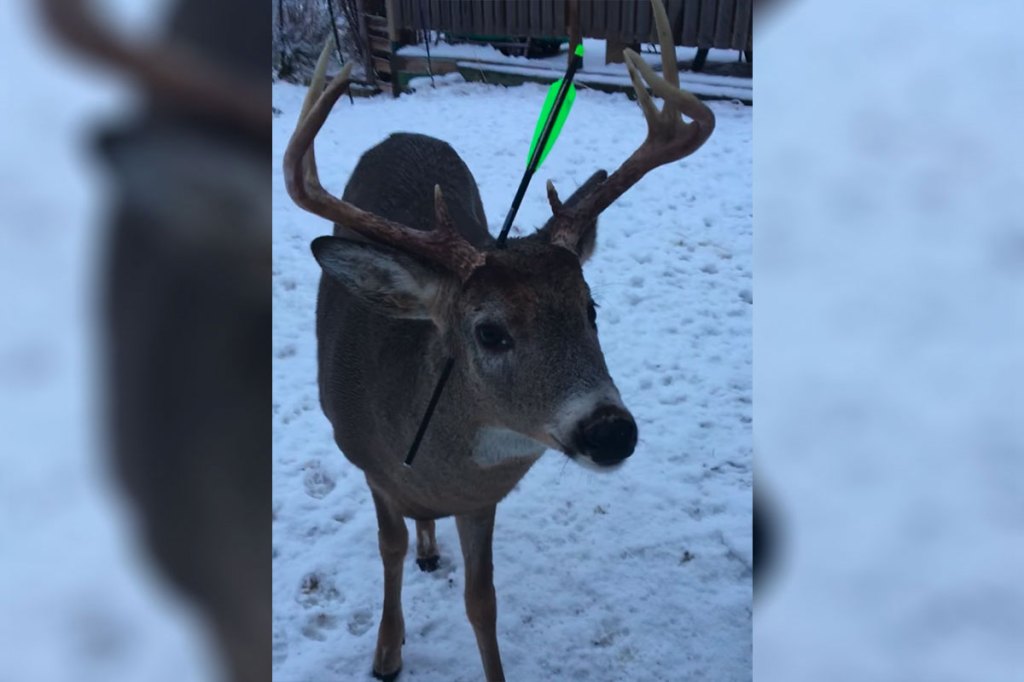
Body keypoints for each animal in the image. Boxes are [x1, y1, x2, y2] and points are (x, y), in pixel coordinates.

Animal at [283, 1, 714, 679]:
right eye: (489, 331)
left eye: (590, 308)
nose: (610, 430)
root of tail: (407, 131)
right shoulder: (369, 468)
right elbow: (388, 549)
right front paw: (386, 653)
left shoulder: (480, 497)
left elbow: (482, 600)